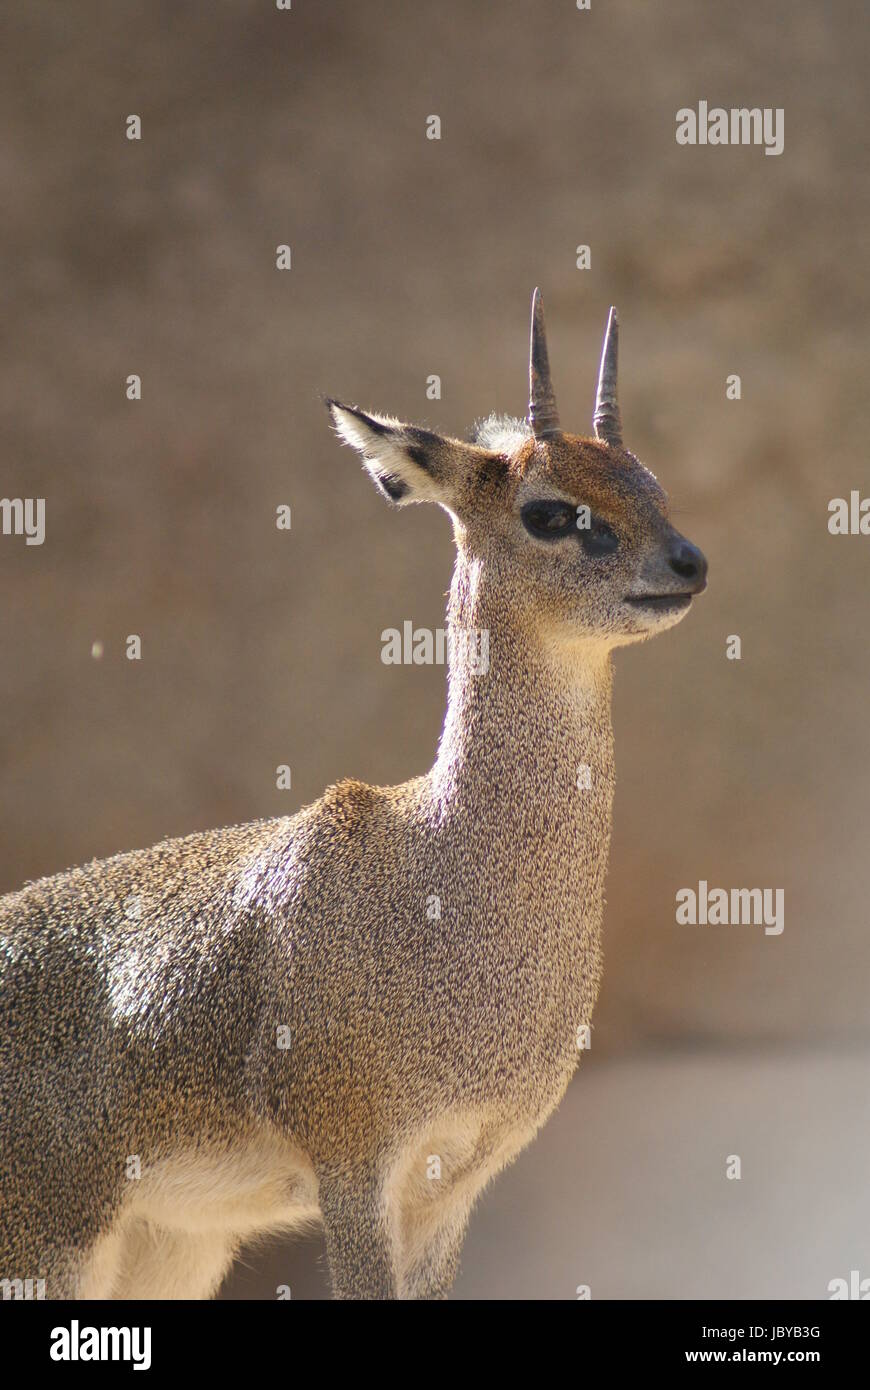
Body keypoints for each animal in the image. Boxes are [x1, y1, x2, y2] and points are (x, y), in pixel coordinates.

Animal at [0, 293, 707, 1300]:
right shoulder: (356, 1168)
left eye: (651, 483)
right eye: (548, 510)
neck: (437, 869)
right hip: (47, 1245)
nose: (688, 564)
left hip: (168, 1247)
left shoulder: (452, 1181)